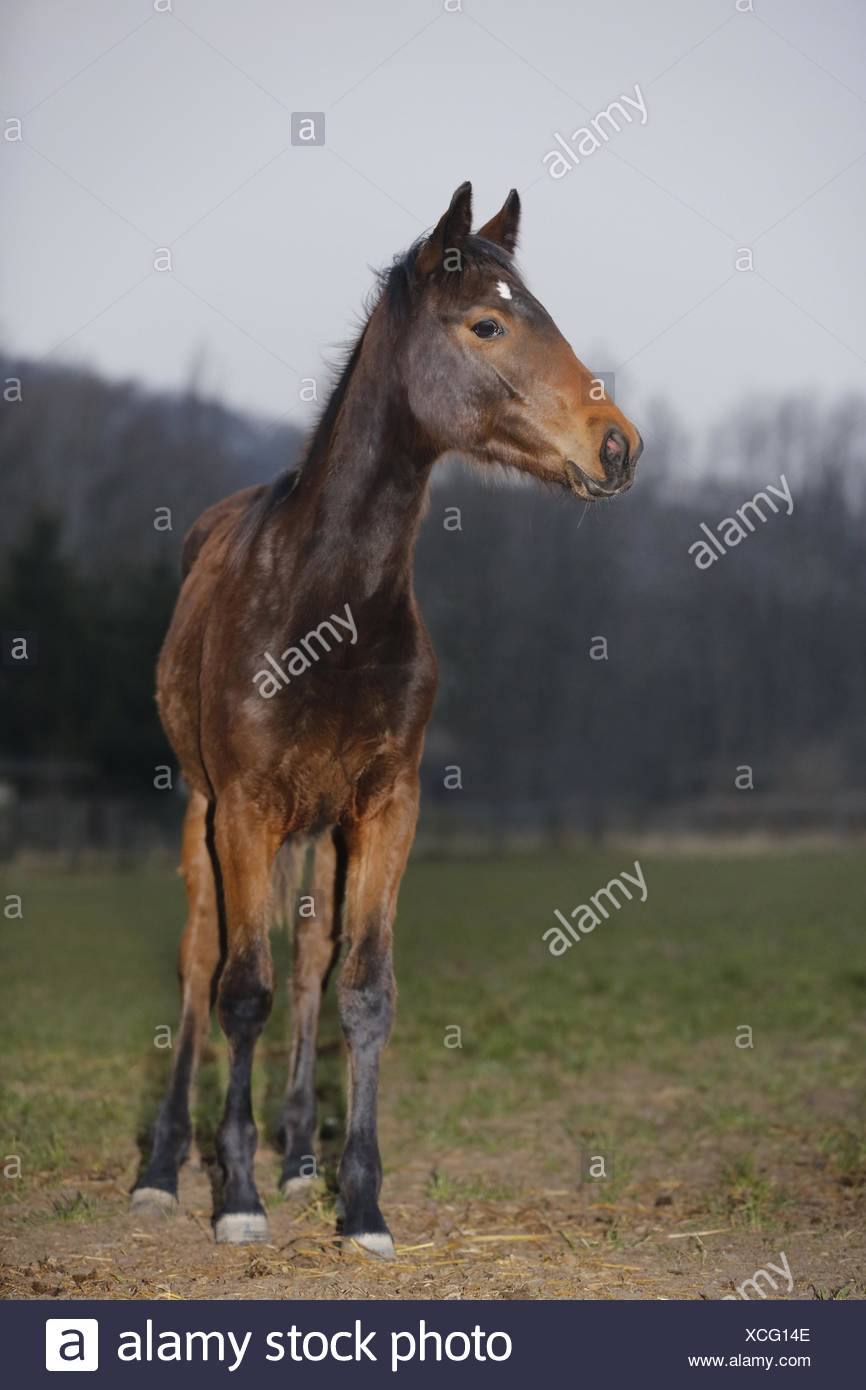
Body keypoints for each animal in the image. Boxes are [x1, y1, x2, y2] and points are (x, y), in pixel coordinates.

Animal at [132, 181, 643, 1257]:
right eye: (487, 323)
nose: (618, 444)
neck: (328, 604)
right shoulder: (244, 805)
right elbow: (240, 987)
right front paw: (233, 1197)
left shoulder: (386, 807)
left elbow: (363, 990)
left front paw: (357, 1203)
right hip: (204, 807)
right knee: (203, 960)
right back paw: (164, 1168)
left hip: (313, 826)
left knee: (309, 957)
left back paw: (298, 1158)